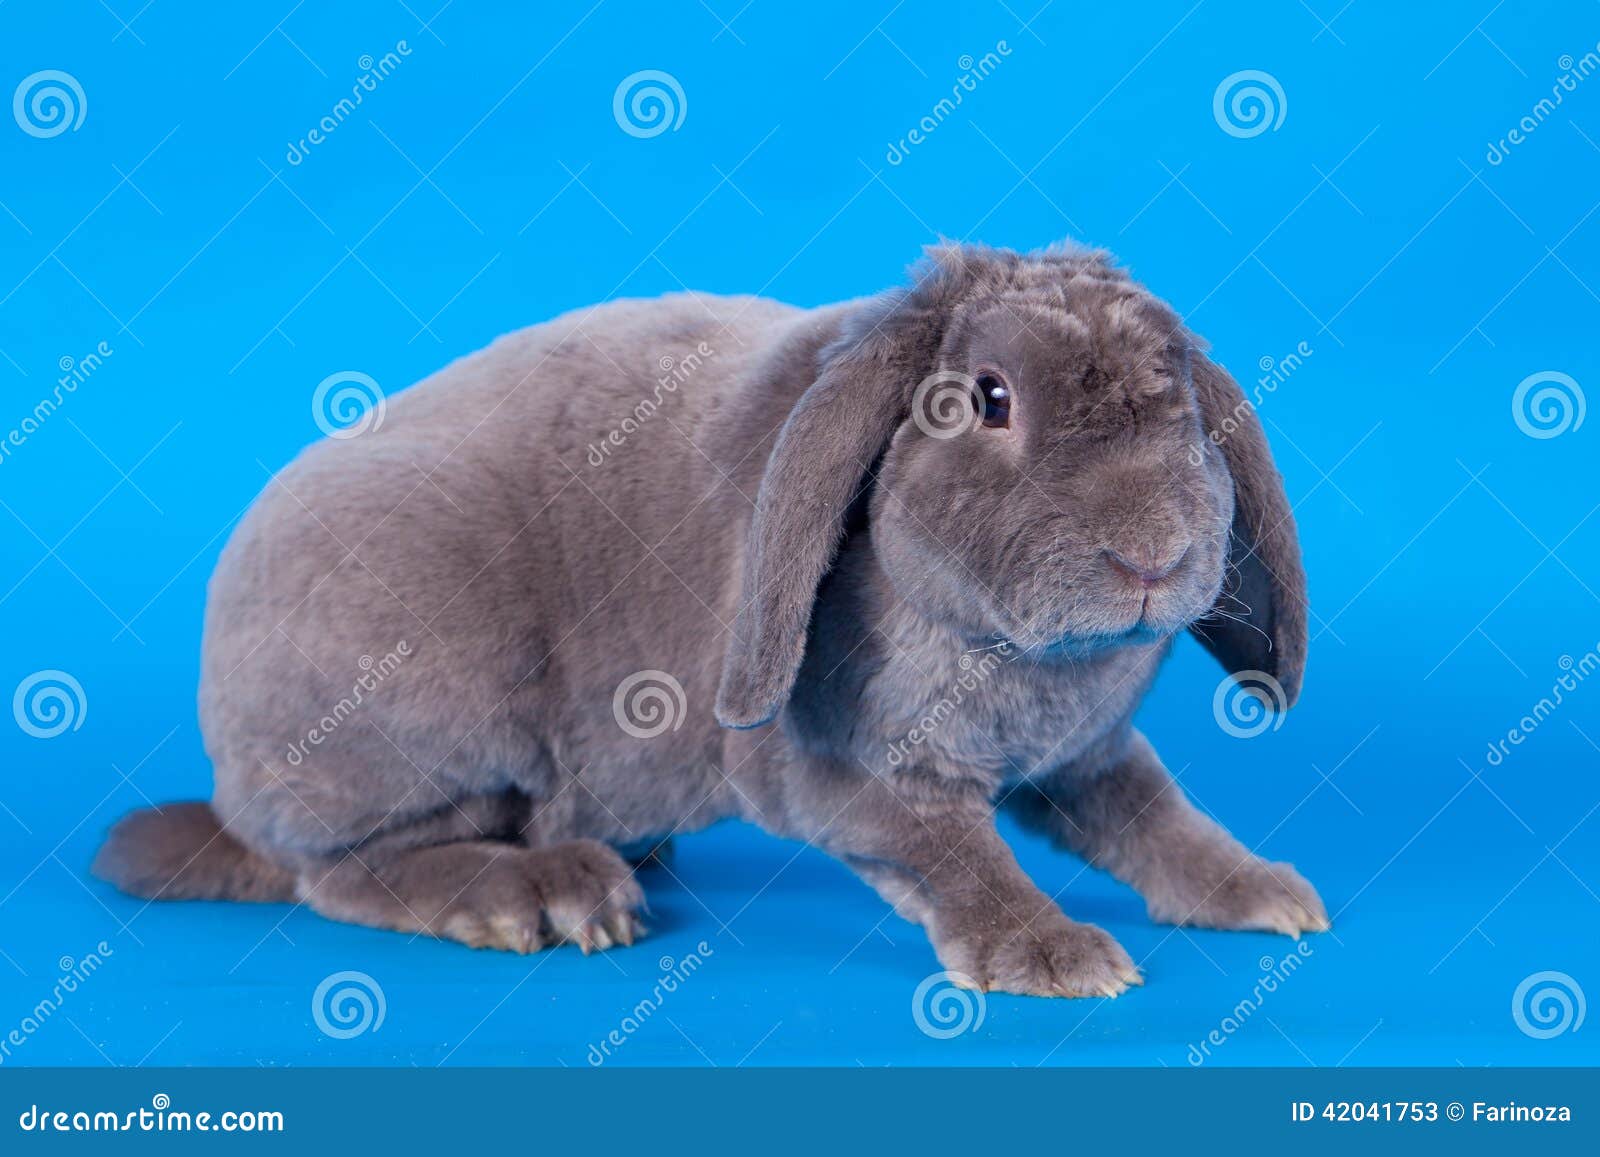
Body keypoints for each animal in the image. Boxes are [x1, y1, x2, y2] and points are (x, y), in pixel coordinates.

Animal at [93, 241, 1327, 997]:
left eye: (1184, 408)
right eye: (988, 399)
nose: (1152, 555)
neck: (1022, 659)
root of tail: (233, 793)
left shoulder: (1087, 753)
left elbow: (1157, 819)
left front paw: (1263, 893)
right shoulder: (844, 774)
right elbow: (954, 853)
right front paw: (1052, 951)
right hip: (421, 705)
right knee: (348, 871)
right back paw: (548, 895)